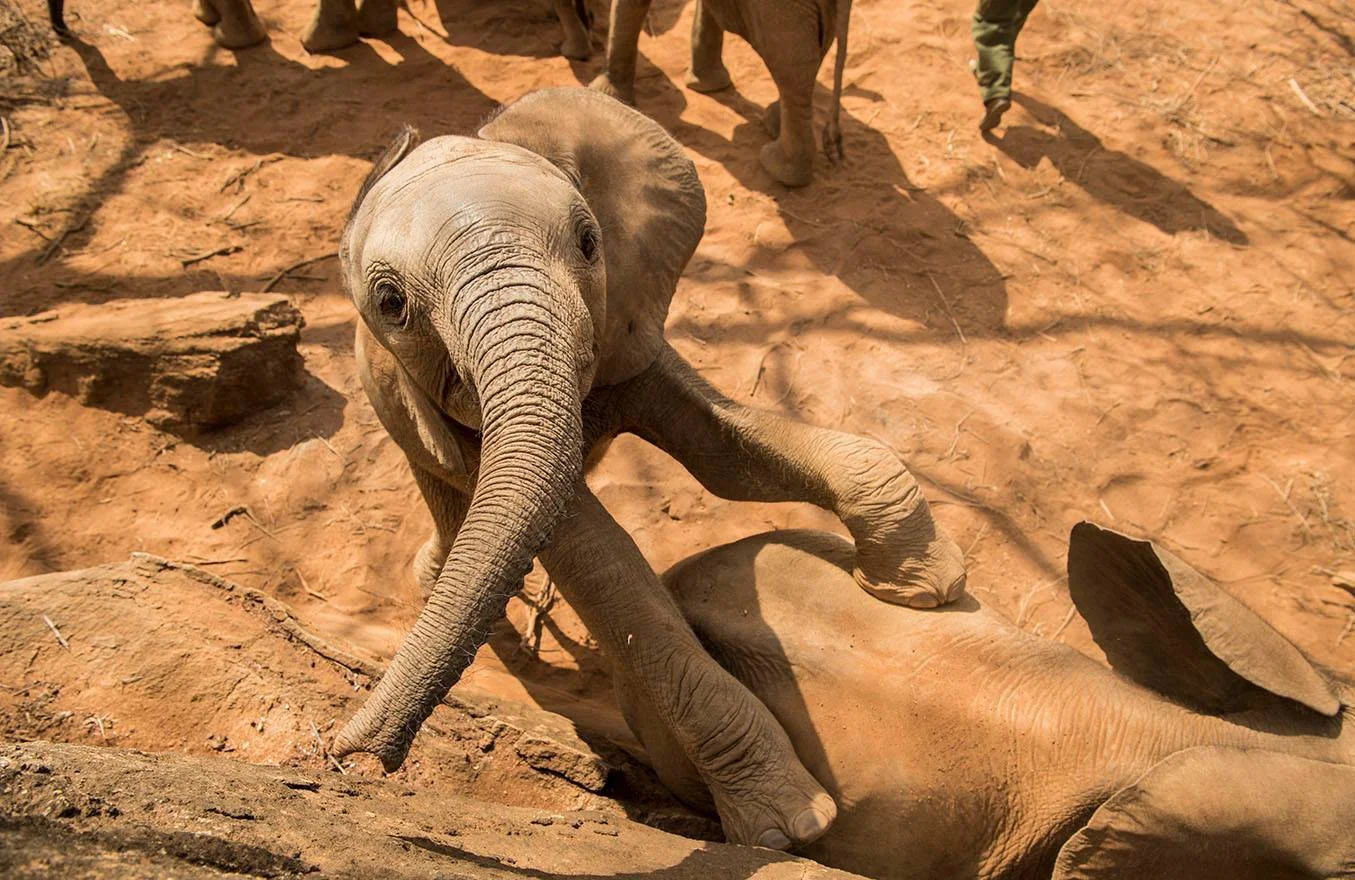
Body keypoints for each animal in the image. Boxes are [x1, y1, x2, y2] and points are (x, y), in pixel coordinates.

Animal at [333, 86, 967, 851]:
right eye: (391, 303)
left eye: (588, 241)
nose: (350, 755)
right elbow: (603, 563)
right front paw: (791, 825)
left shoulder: (625, 320)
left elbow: (721, 451)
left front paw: (929, 586)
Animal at [590, 0, 854, 186]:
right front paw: (707, 86)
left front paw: (606, 96)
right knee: (811, 54)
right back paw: (774, 127)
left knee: (791, 64)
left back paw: (777, 169)